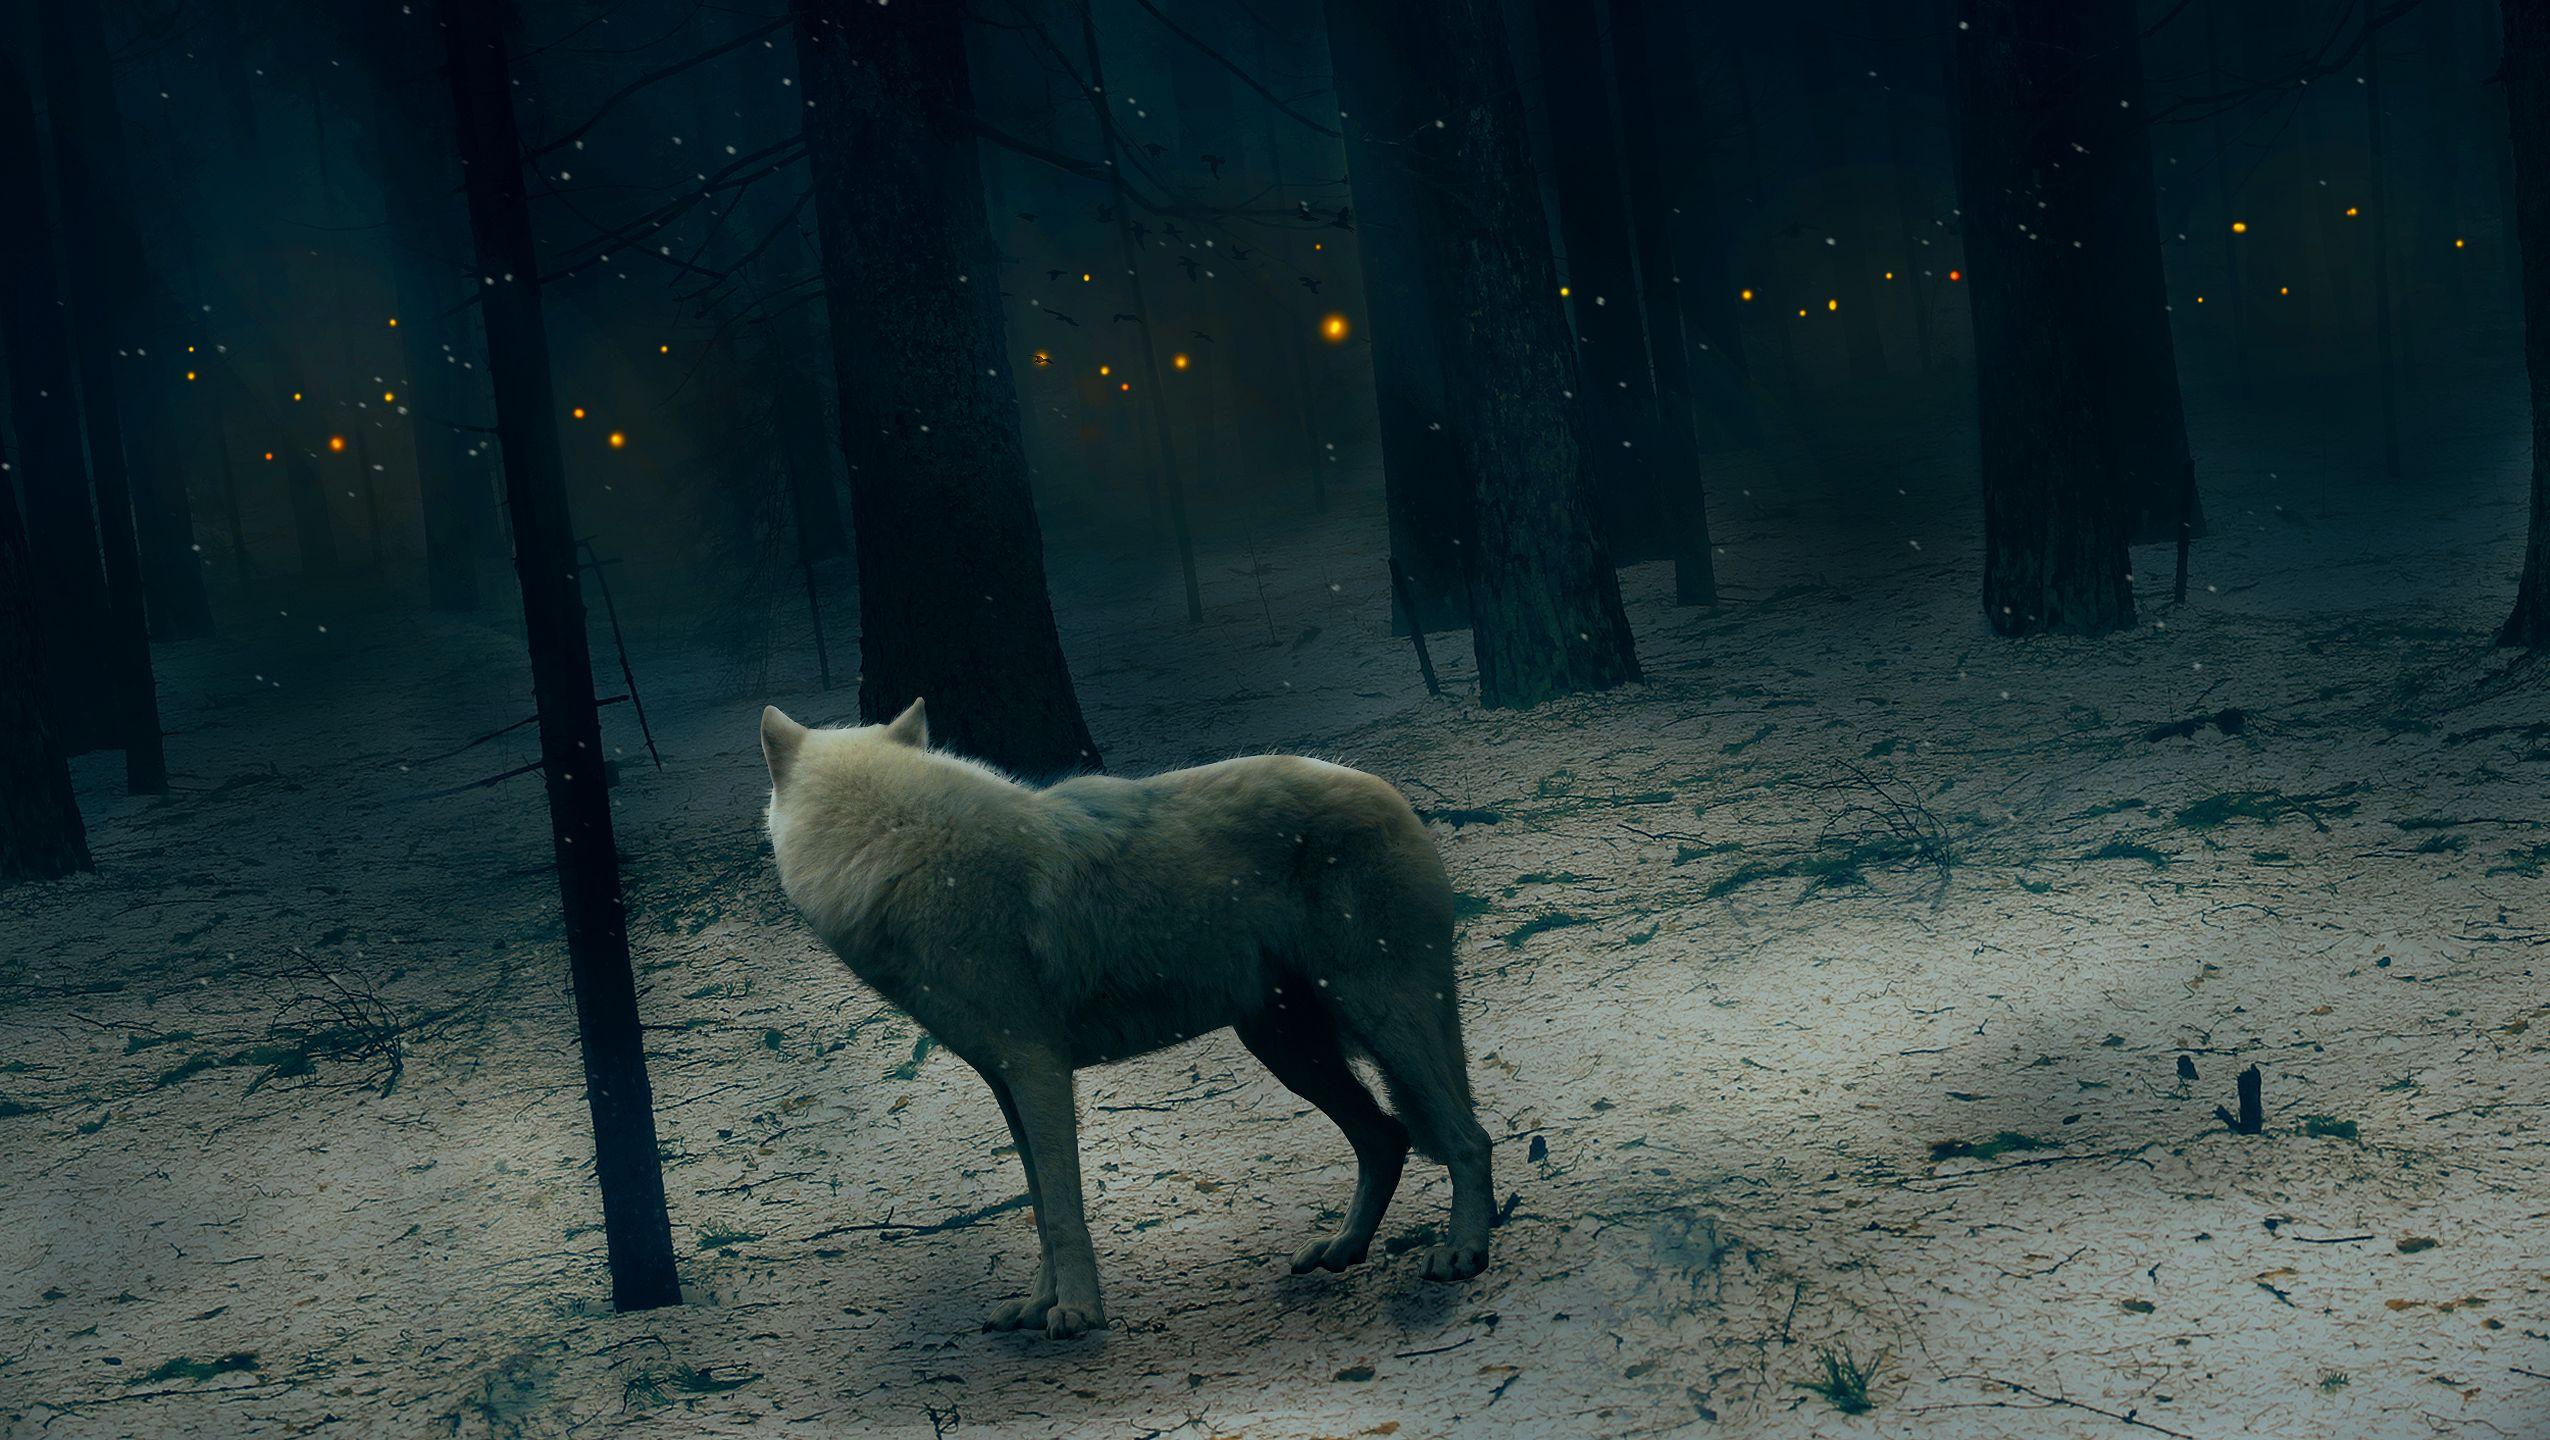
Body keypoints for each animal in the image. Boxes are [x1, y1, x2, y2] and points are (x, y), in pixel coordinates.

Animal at [759, 699, 1494, 1339]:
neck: (897, 841)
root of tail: (1387, 791)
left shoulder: (1039, 1069)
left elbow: (1062, 1208)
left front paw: (1077, 1312)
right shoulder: (1005, 1082)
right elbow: (1039, 1205)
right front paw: (1036, 1307)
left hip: (1384, 1021)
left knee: (1467, 1137)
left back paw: (1464, 1252)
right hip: (1288, 1049)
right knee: (1388, 1137)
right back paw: (1345, 1247)